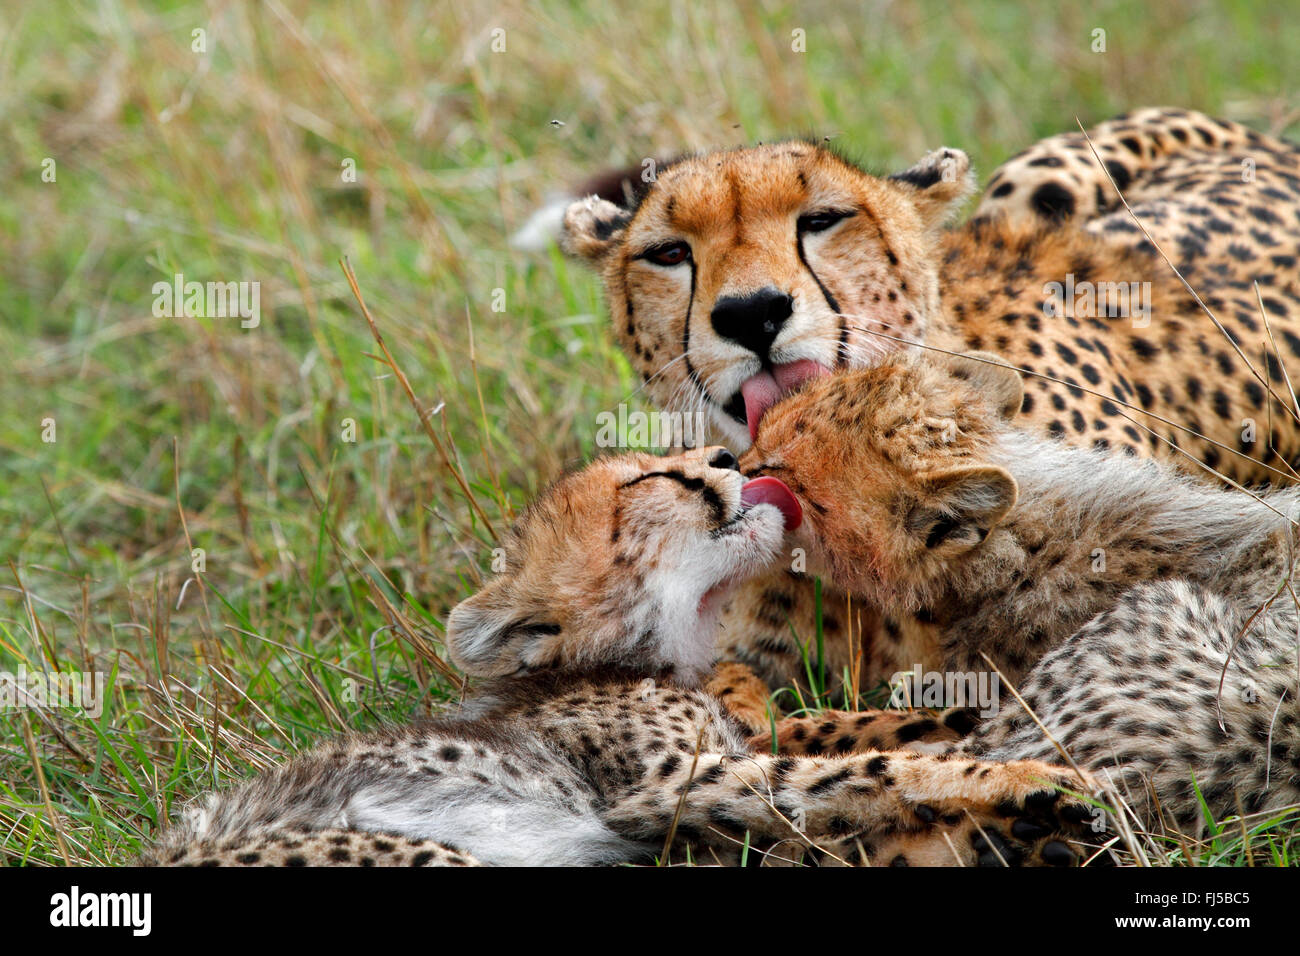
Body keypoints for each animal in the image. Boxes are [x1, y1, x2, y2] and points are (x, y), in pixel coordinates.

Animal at [142, 446, 1097, 867]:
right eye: (654, 479)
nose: (727, 453)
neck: (650, 659)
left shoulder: (734, 739)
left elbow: (839, 726)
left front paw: (1000, 714)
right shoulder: (670, 784)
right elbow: (864, 769)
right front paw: (1028, 780)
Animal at [738, 349, 1300, 834]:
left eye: (772, 471)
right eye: (757, 442)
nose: (730, 464)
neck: (1020, 545)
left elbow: (904, 728)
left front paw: (795, 726)